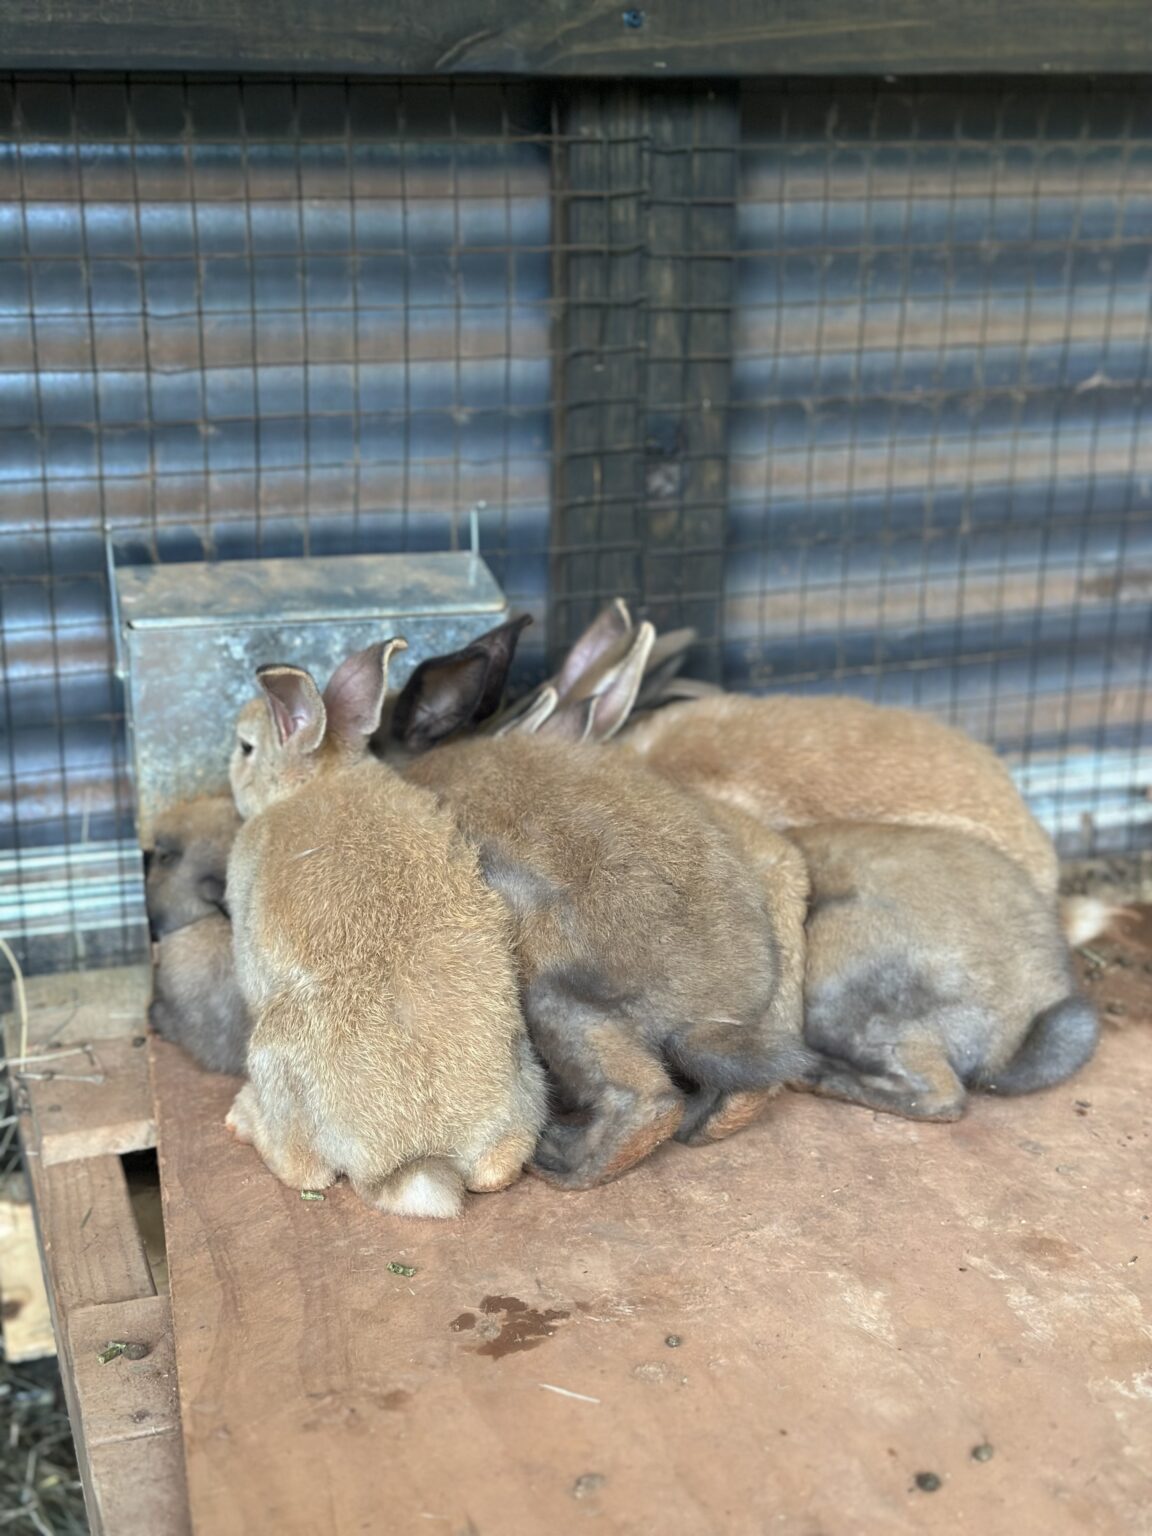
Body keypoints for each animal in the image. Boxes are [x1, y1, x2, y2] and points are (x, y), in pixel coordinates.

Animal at [225, 639, 546, 1218]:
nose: (229, 772)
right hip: (525, 1070)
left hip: (272, 1057)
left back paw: (243, 1120)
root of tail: (420, 1160)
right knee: (498, 1170)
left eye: (246, 748)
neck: (319, 778)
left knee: (304, 1170)